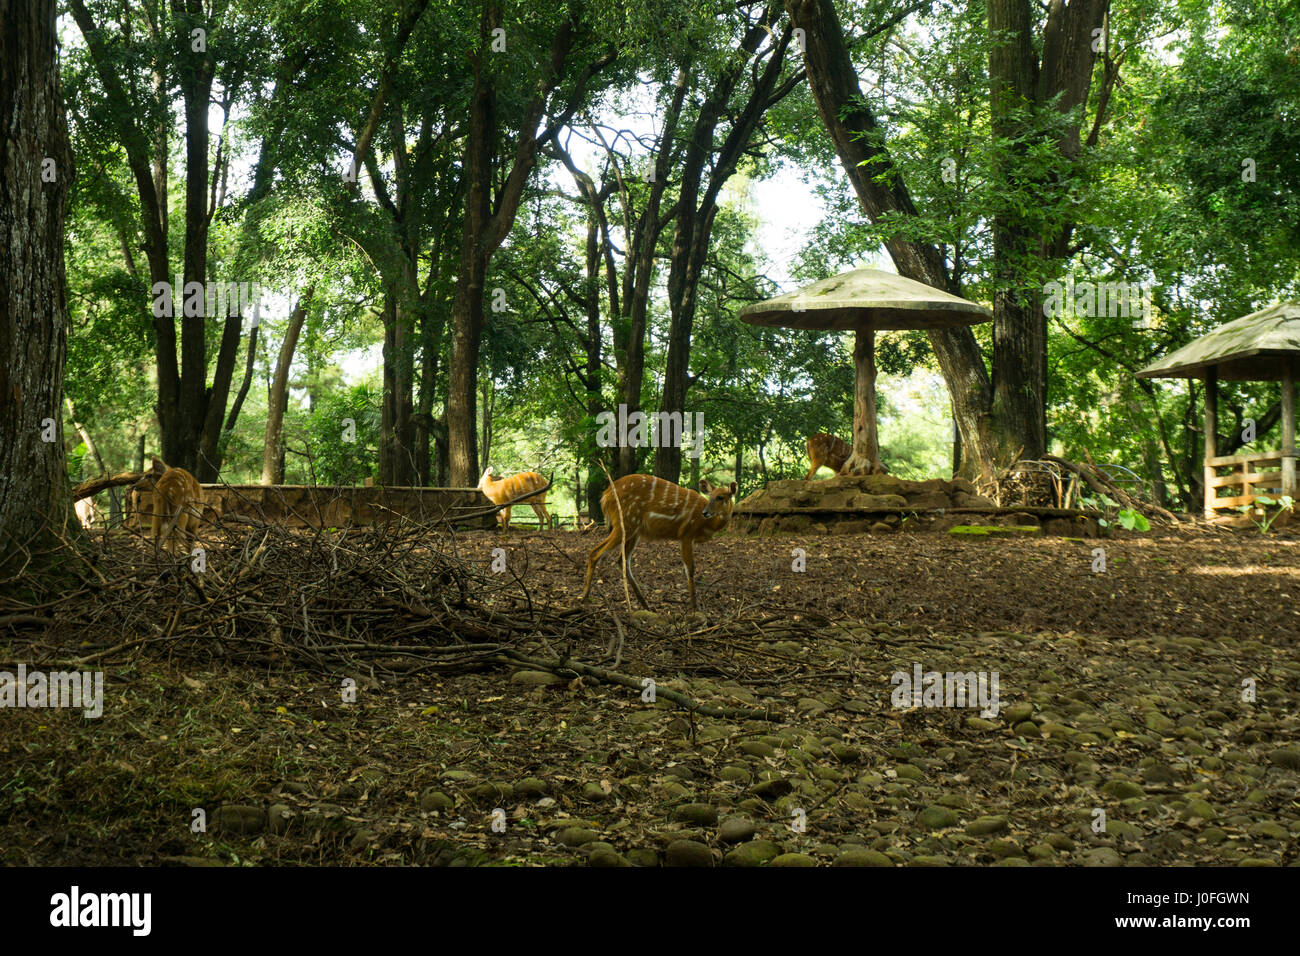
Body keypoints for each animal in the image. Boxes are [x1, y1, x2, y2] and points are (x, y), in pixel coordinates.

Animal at [581, 474, 738, 611]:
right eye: (711, 496)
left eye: (720, 497)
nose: (705, 512)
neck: (706, 525)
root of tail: (605, 496)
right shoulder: (686, 534)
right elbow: (690, 569)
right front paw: (694, 607)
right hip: (624, 524)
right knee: (595, 552)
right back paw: (584, 597)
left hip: (635, 531)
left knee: (621, 560)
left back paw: (646, 605)